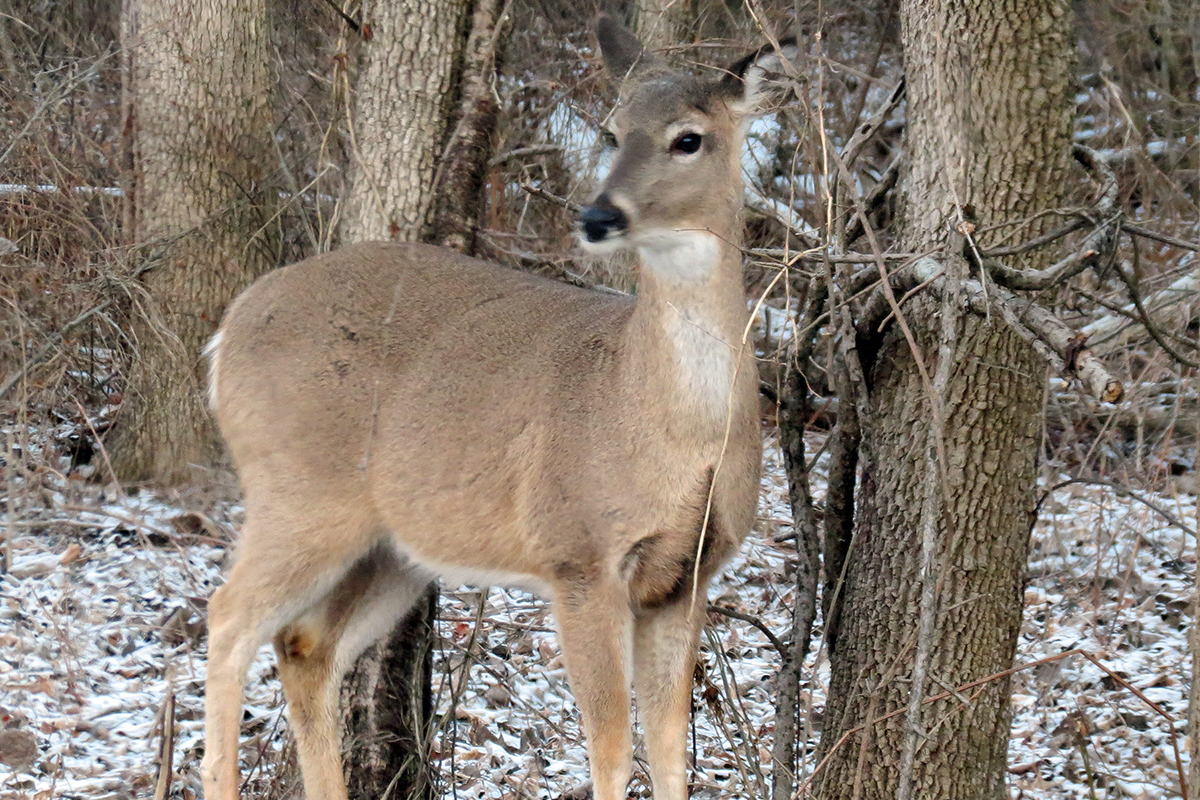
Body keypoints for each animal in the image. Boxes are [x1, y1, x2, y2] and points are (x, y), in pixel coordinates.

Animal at [200, 16, 793, 800]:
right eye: (611, 130)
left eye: (689, 138)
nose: (598, 216)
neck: (669, 423)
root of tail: (226, 331)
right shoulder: (578, 554)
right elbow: (611, 746)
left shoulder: (688, 574)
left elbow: (671, 750)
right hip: (298, 493)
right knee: (227, 617)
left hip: (394, 547)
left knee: (303, 644)